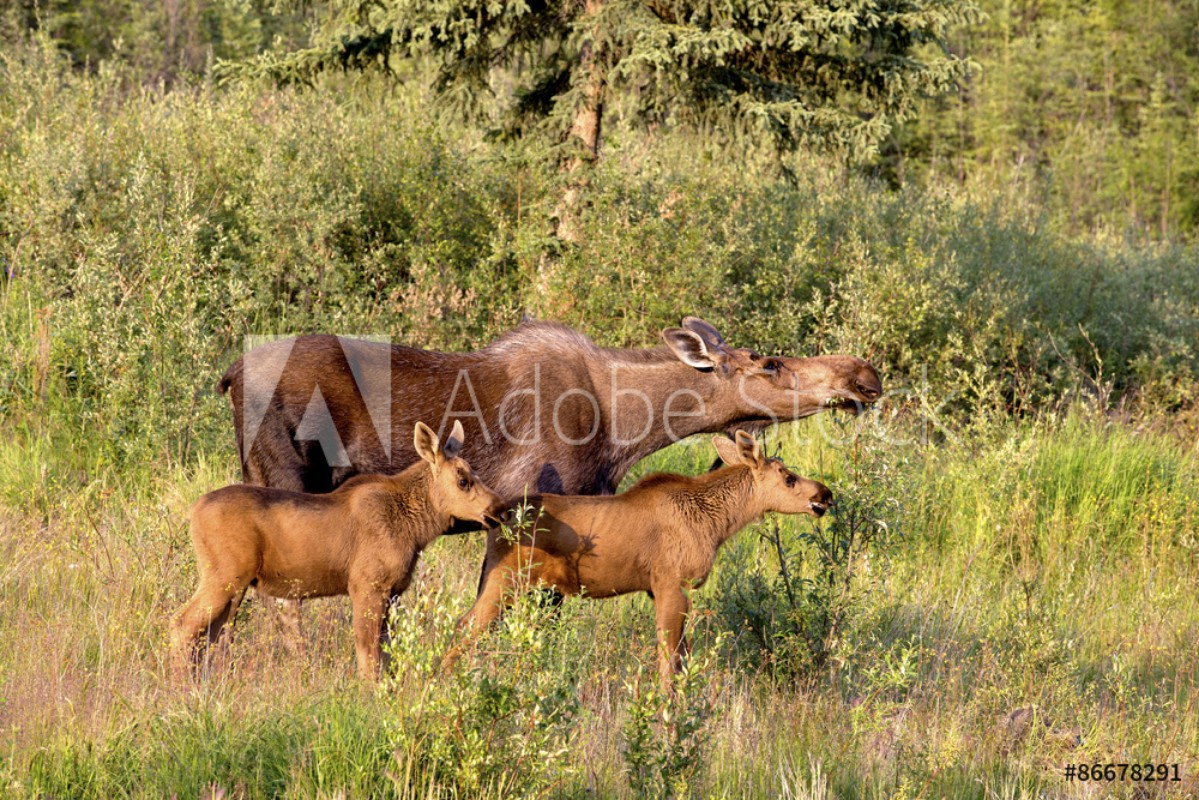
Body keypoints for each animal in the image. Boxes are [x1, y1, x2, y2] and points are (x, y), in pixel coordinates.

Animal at [171, 421, 503, 680]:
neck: (417, 528)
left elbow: (384, 654)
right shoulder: (367, 585)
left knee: (206, 635)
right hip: (225, 575)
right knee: (182, 624)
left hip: (233, 586)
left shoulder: (392, 591)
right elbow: (367, 652)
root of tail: (192, 512)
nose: (499, 508)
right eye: (463, 480)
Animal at [444, 429, 834, 688]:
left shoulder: (659, 590)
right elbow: (668, 661)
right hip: (505, 581)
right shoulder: (672, 583)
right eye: (789, 477)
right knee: (465, 627)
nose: (825, 494)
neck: (717, 522)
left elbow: (679, 658)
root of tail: (496, 518)